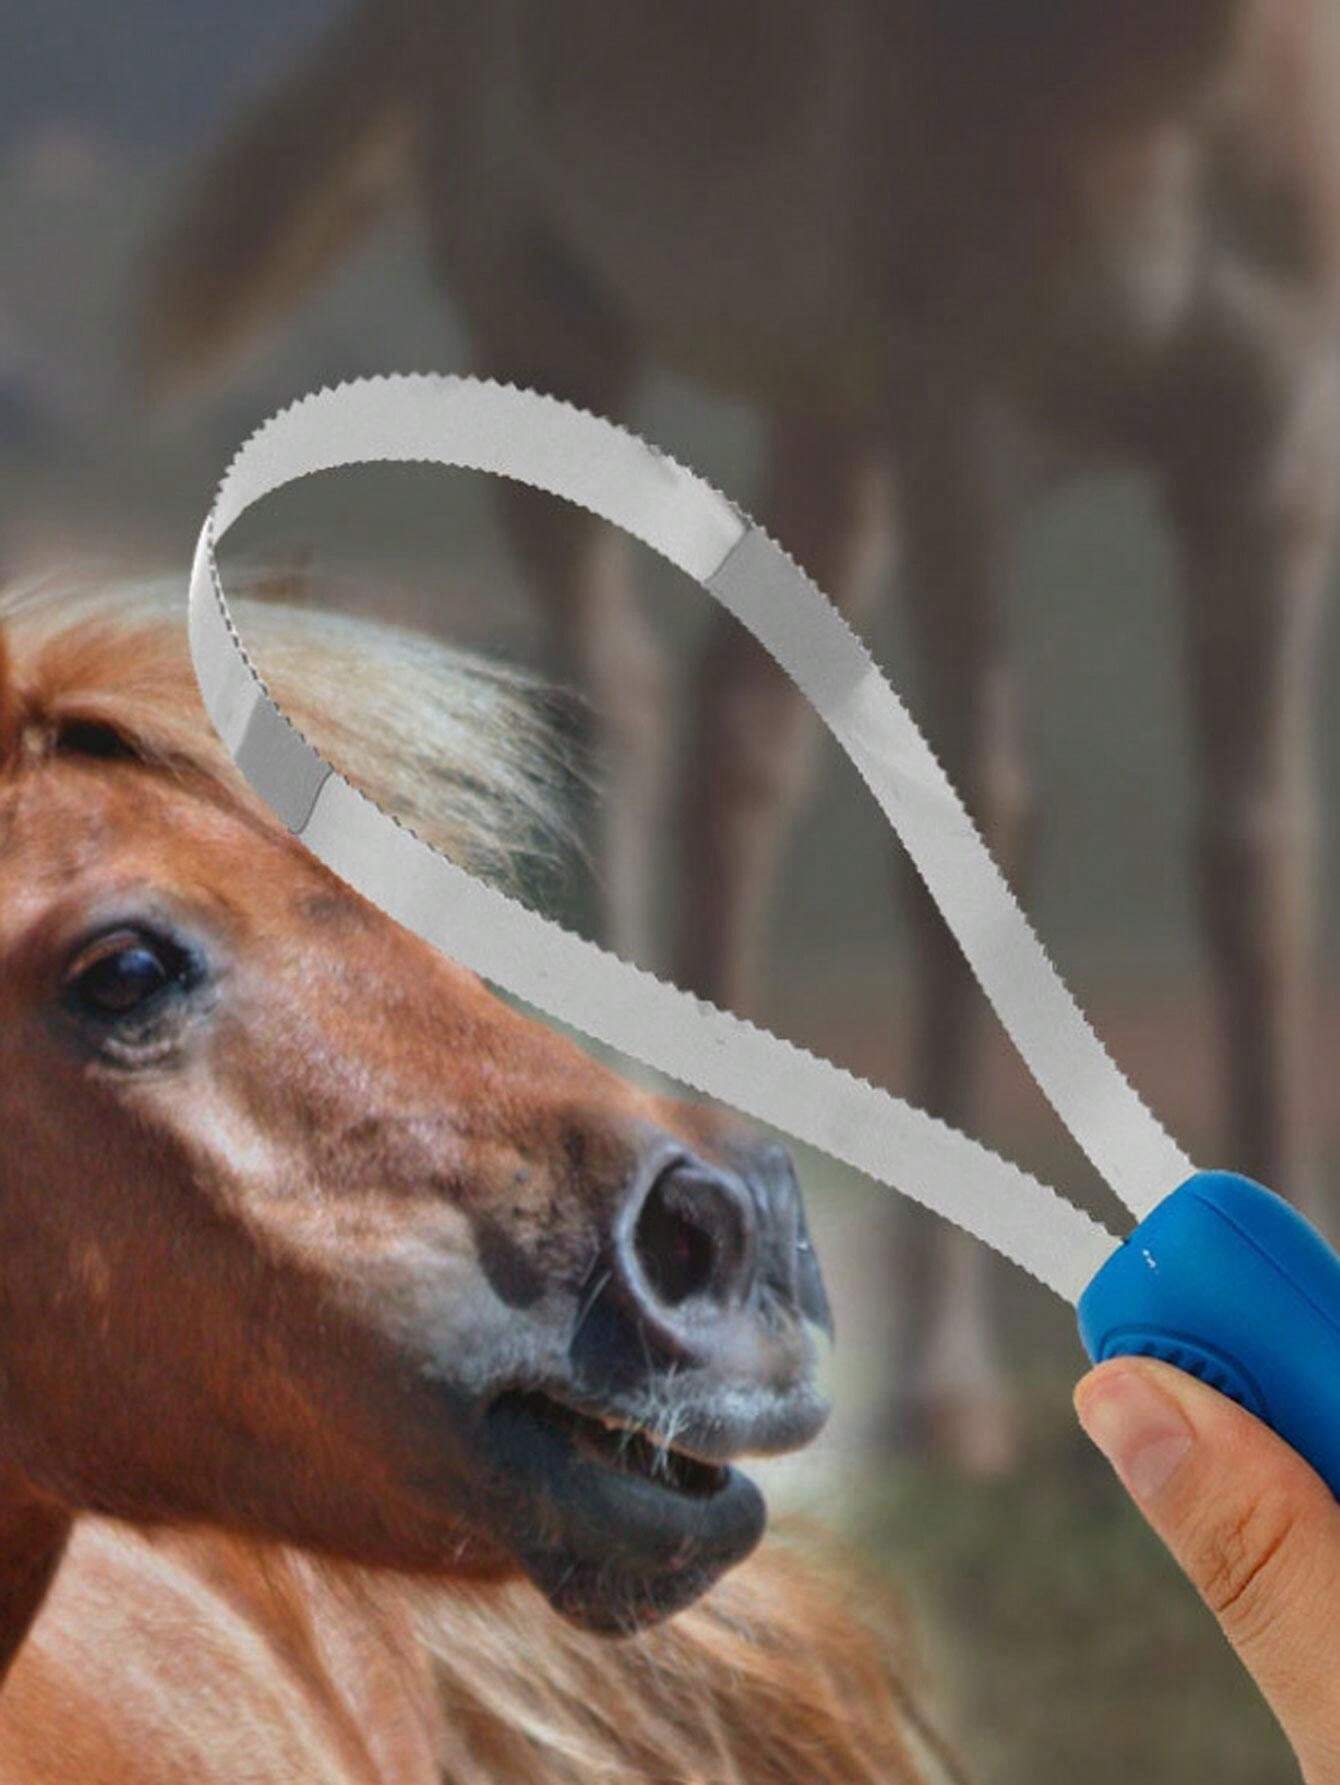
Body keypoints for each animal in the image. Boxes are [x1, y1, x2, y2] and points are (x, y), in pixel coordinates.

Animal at [142, 0, 1340, 1470]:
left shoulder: (1266, 459)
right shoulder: (961, 439)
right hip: (550, 335)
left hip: (824, 422)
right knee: (620, 698)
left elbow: (1252, 856)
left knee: (734, 743)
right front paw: (943, 1392)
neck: (1161, 76)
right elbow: (976, 850)